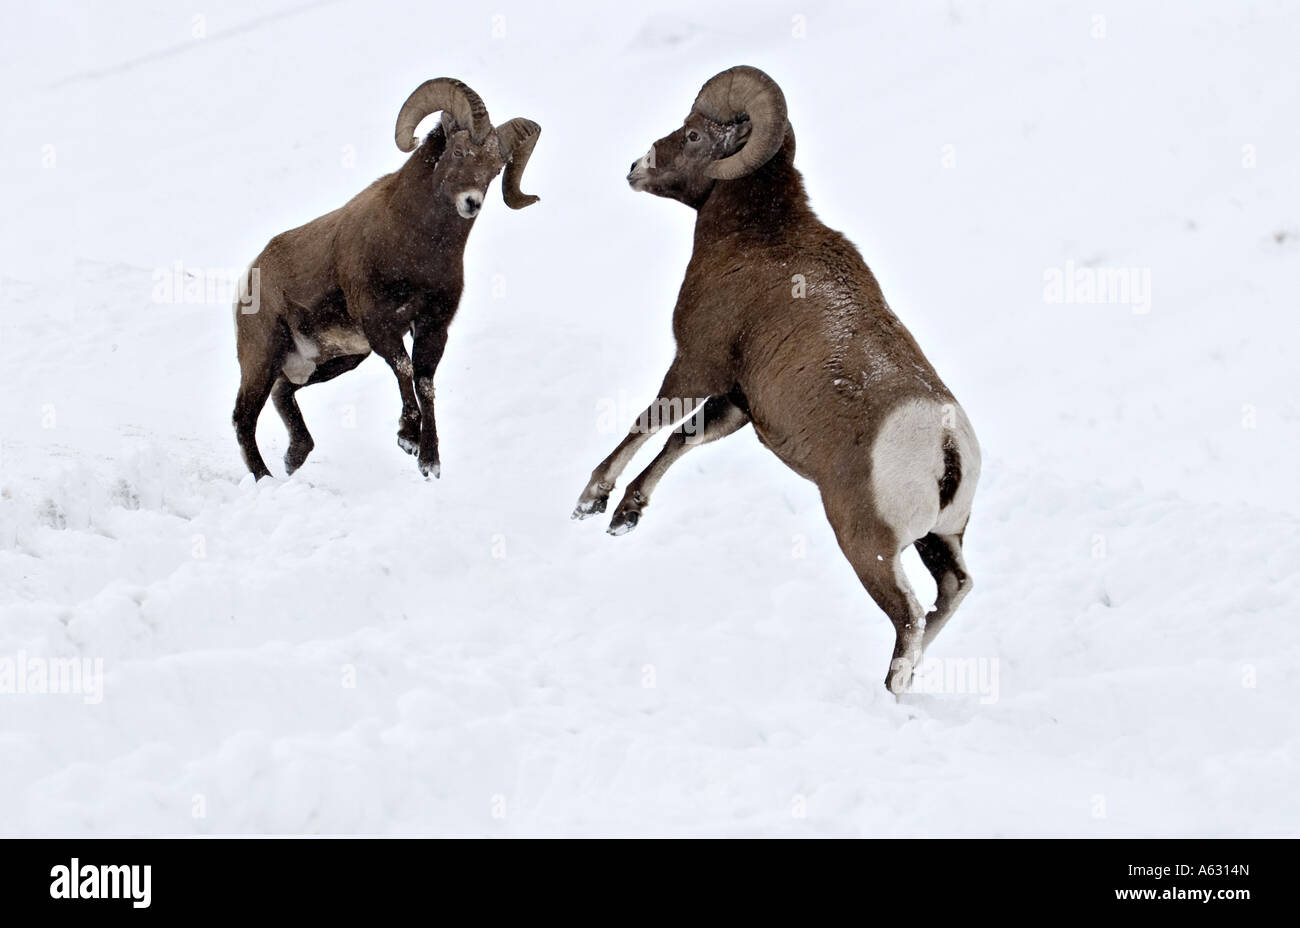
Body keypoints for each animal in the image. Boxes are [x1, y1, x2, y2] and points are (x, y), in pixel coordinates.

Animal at [233, 78, 540, 480]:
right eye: (458, 151)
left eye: (495, 167)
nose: (472, 203)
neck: (414, 250)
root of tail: (251, 274)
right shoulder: (380, 325)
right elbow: (405, 369)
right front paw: (407, 438)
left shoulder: (431, 326)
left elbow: (425, 384)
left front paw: (429, 460)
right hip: (263, 357)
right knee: (243, 418)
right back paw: (264, 478)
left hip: (337, 360)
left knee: (282, 392)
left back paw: (294, 458)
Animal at [571, 66, 981, 694]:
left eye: (695, 134)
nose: (636, 166)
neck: (758, 236)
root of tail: (946, 445)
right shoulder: (739, 403)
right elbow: (683, 439)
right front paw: (626, 517)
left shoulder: (697, 363)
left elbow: (650, 422)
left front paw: (592, 501)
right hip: (943, 539)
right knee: (953, 592)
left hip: (868, 547)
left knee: (909, 614)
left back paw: (888, 692)